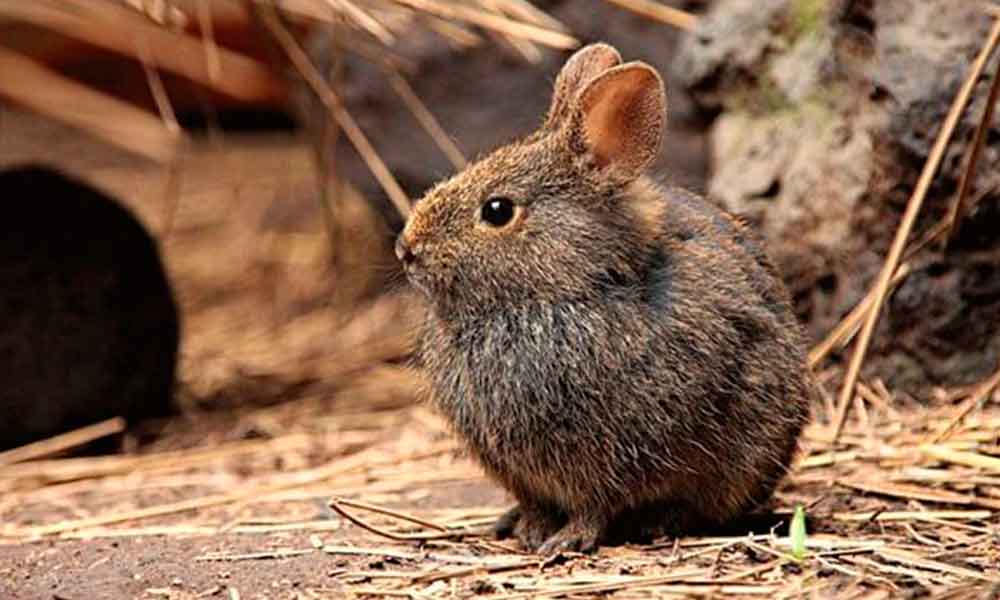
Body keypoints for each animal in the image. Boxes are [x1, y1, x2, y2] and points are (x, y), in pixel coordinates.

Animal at [395, 43, 812, 554]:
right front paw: (528, 526)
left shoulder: (610, 455)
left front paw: (564, 541)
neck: (562, 290)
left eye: (497, 210)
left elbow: (596, 506)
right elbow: (534, 501)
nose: (407, 248)